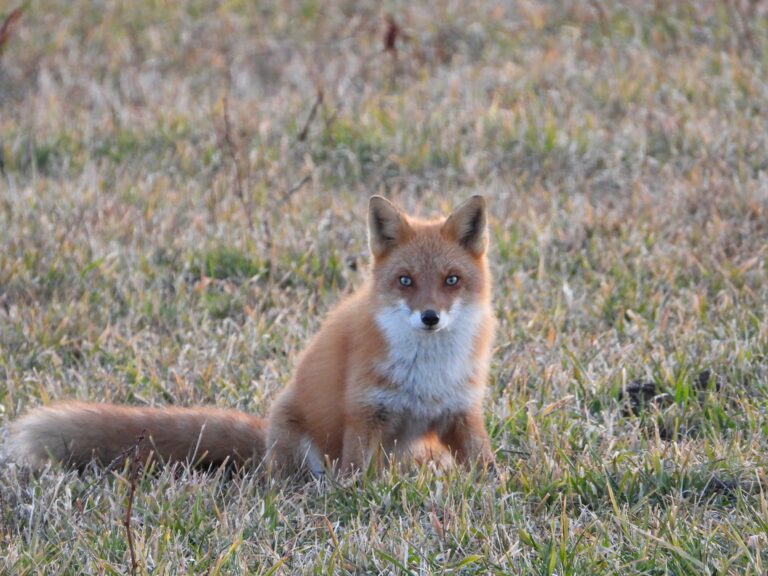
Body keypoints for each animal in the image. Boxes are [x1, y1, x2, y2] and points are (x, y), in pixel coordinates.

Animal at [8, 195, 496, 476]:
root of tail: (264, 443)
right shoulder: (366, 415)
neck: (427, 371)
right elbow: (359, 478)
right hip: (298, 445)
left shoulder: (460, 412)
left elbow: (487, 468)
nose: (430, 317)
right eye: (405, 281)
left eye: (452, 280)